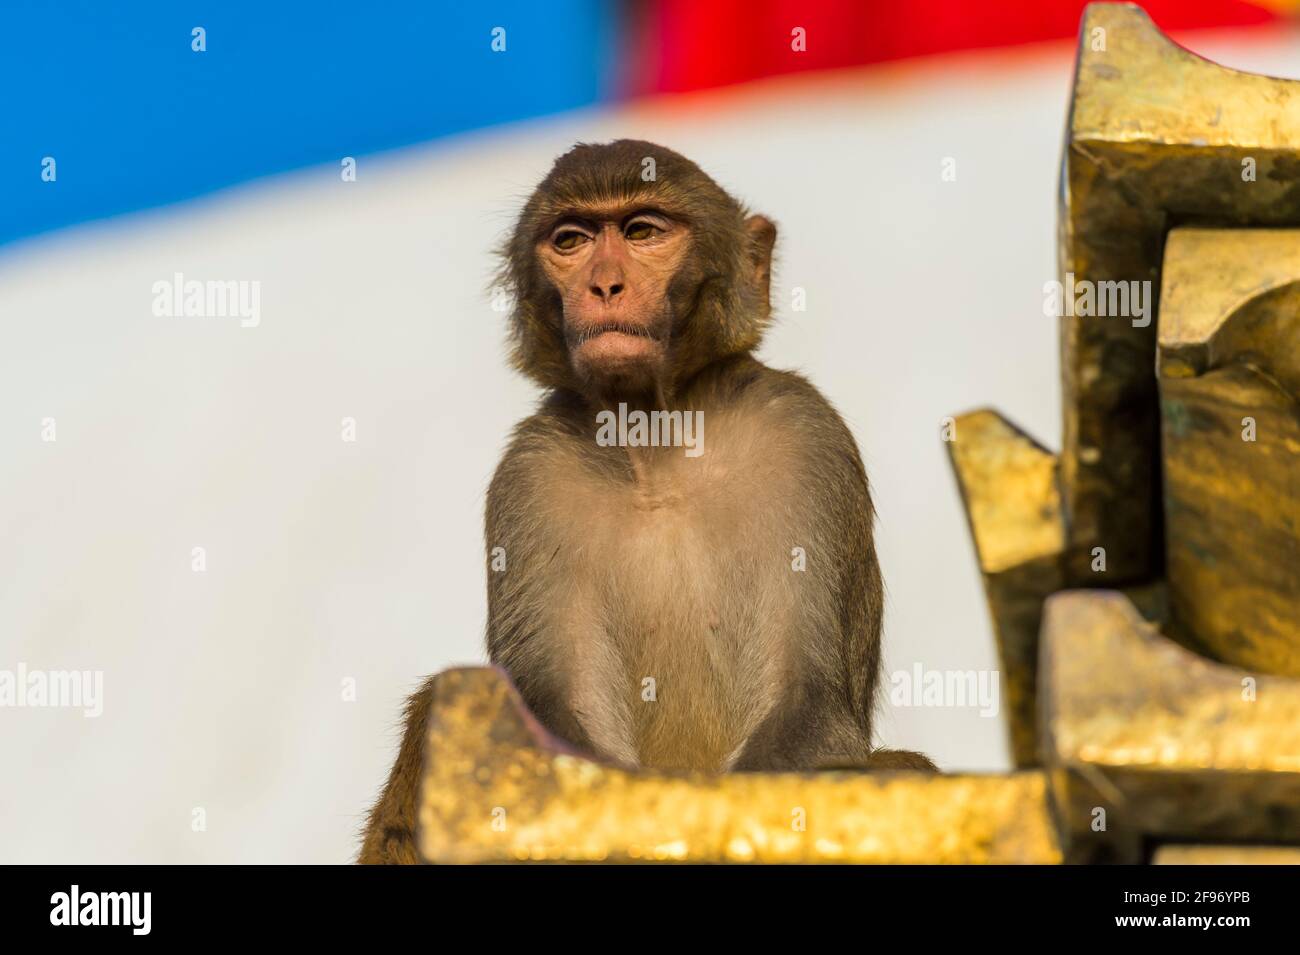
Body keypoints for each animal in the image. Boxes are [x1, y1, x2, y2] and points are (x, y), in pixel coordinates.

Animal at [359, 140, 935, 865]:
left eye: (642, 232)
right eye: (571, 241)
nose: (604, 285)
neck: (656, 444)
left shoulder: (805, 435)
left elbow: (807, 701)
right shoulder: (530, 476)